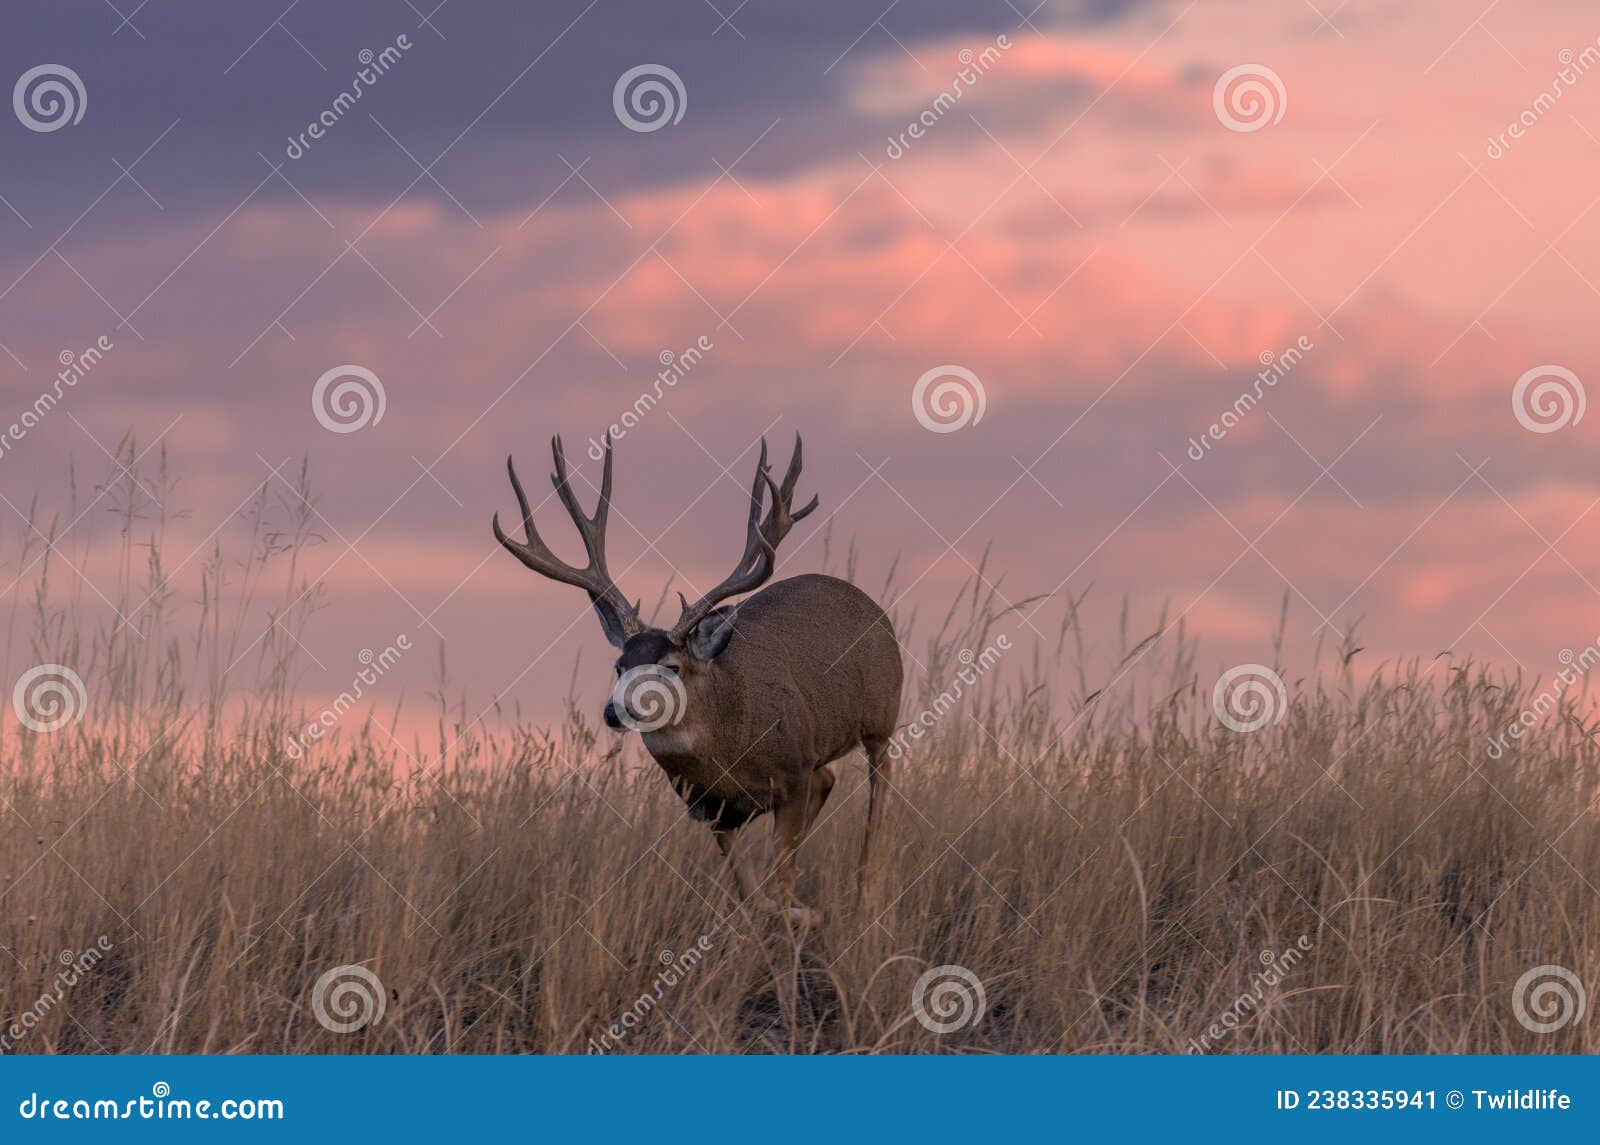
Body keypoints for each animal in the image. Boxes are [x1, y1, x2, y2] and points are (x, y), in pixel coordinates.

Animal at [493, 432, 902, 926]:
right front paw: (793, 913)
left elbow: (781, 884)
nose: (614, 710)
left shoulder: (793, 773)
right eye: (619, 665)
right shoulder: (709, 810)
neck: (728, 750)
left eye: (671, 666)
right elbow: (752, 893)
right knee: (830, 781)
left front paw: (801, 915)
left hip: (881, 717)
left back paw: (863, 894)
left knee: (879, 792)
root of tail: (869, 604)